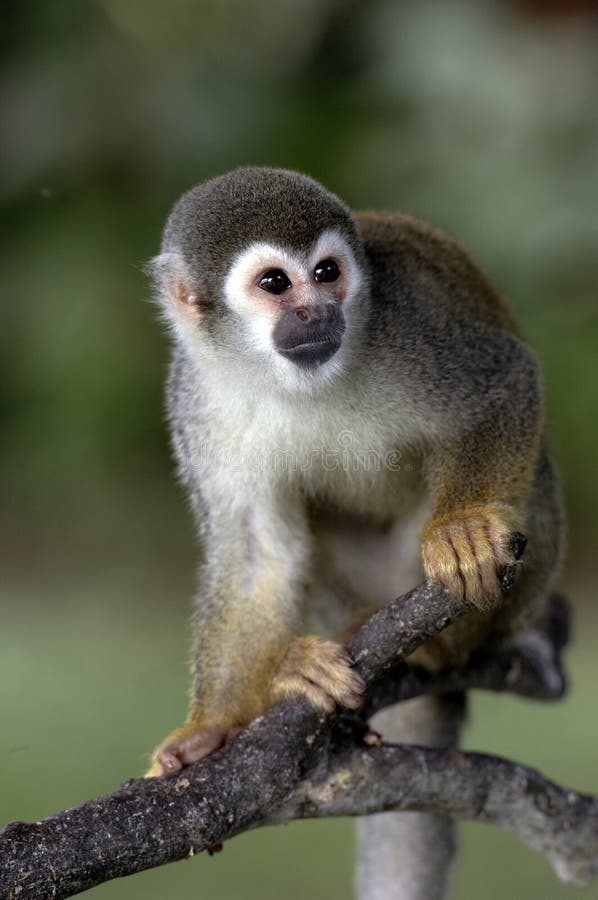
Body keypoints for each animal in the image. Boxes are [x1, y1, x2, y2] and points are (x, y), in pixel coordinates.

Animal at [145, 166, 563, 900]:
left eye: (327, 273)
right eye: (275, 284)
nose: (316, 312)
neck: (288, 378)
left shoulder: (409, 324)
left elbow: (504, 380)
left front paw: (463, 529)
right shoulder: (195, 399)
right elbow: (255, 551)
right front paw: (211, 730)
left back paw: (447, 639)